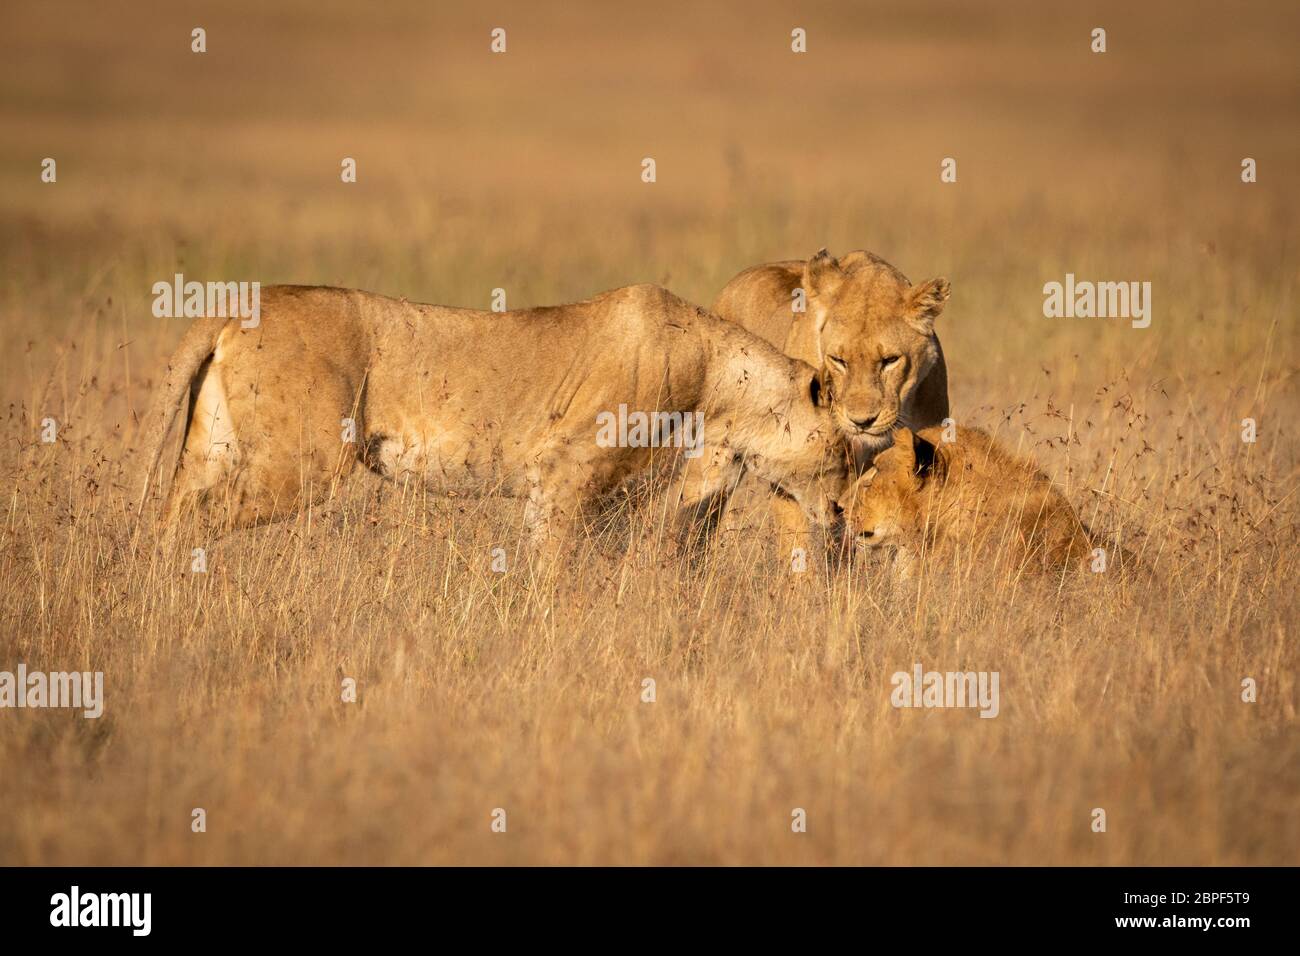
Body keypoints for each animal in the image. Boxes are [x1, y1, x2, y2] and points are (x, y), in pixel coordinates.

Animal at [136, 283, 849, 554]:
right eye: (845, 454)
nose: (845, 515)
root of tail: (240, 301)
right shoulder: (564, 471)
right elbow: (558, 572)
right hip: (307, 460)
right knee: (198, 516)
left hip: (213, 445)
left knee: (175, 505)